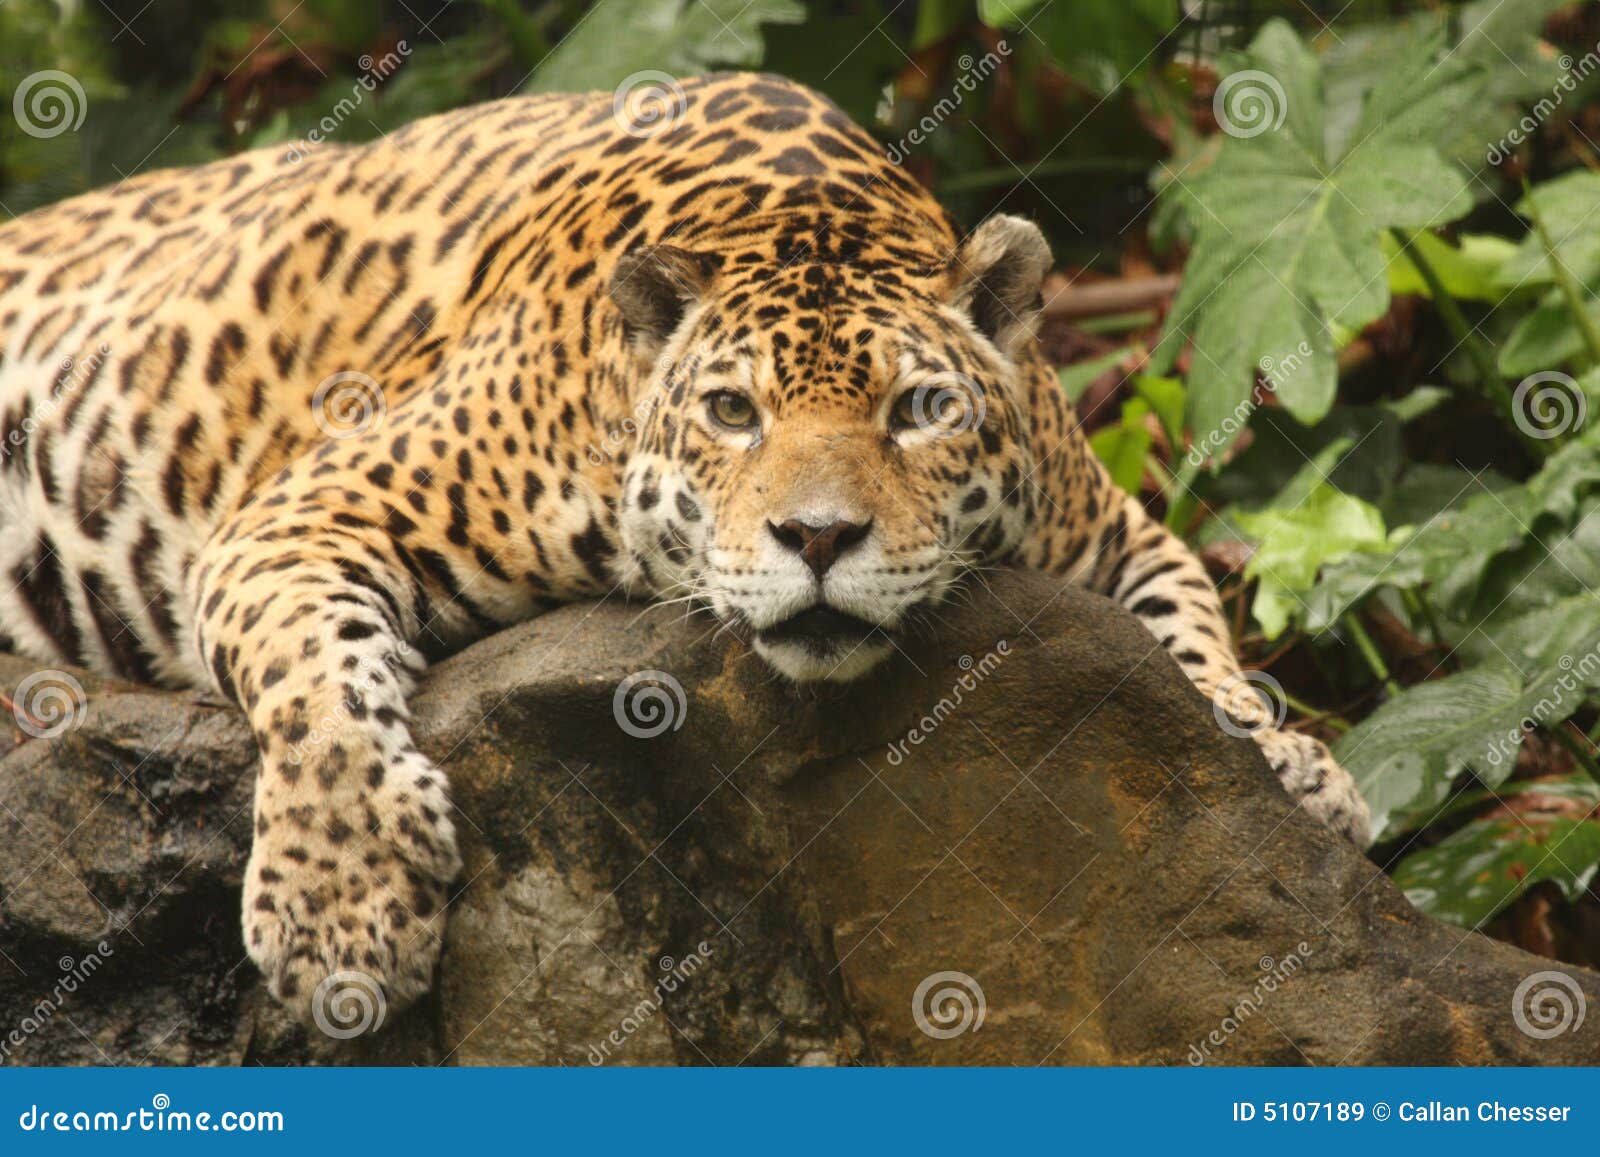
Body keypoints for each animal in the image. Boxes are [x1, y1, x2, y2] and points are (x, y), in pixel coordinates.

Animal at [0, 71, 1371, 1029]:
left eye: (920, 408)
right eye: (731, 411)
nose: (818, 536)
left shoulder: (1116, 529)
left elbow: (1193, 632)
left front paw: (1289, 765)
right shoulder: (307, 506)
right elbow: (313, 688)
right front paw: (343, 914)